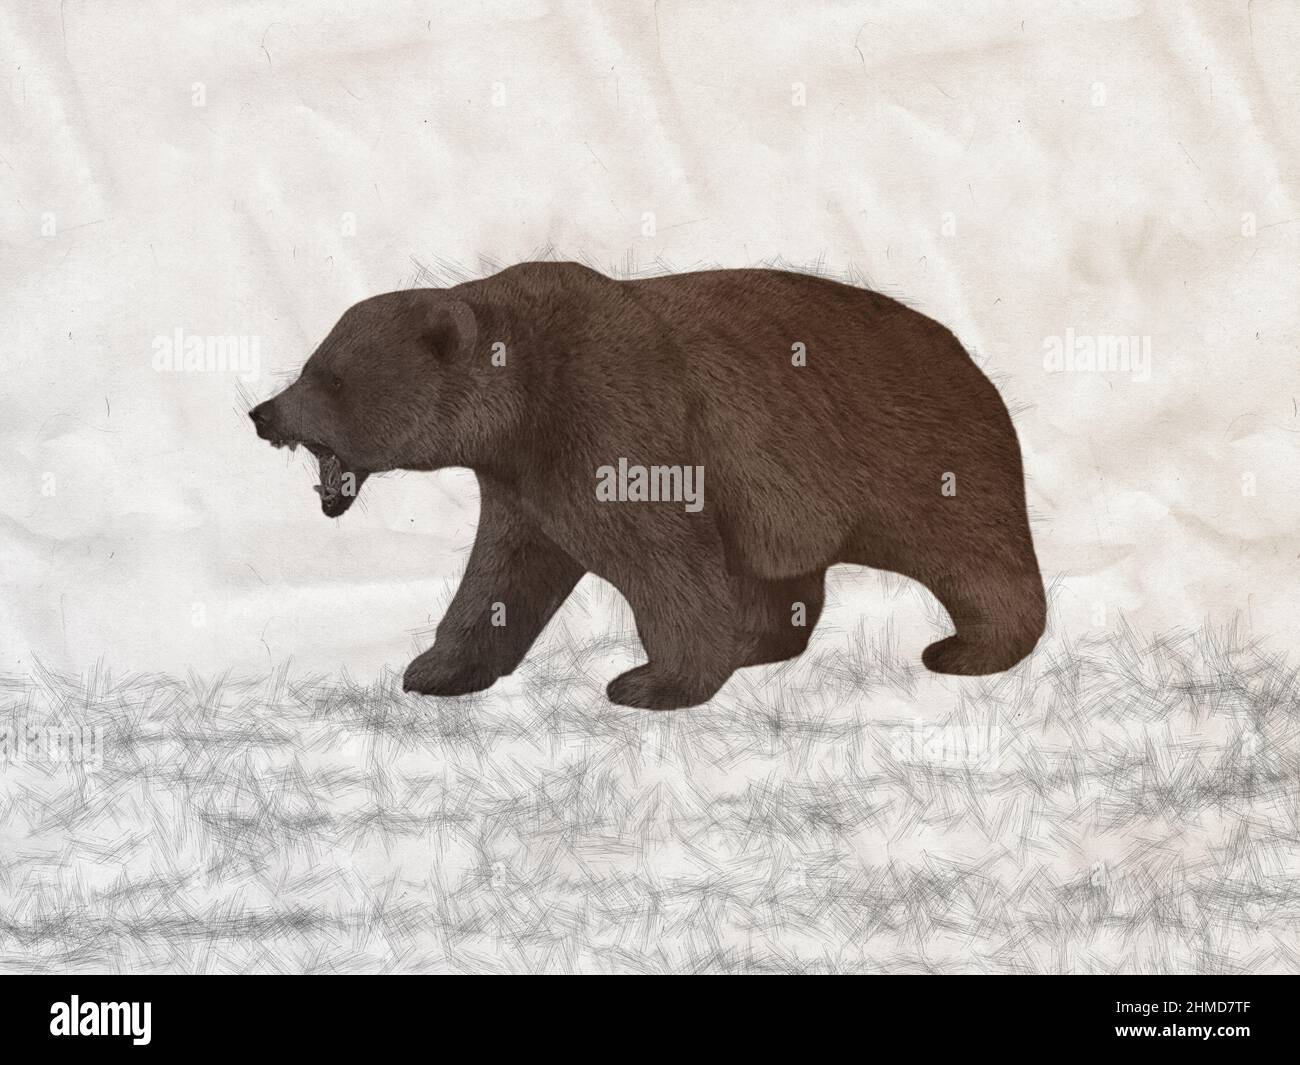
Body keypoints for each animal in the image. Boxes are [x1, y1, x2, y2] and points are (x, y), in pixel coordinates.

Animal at [250, 262, 1045, 710]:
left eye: (329, 376)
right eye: (310, 363)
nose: (263, 413)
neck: (523, 405)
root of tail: (967, 354)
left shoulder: (614, 418)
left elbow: (662, 559)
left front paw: (649, 682)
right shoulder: (524, 483)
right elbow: (502, 575)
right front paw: (435, 668)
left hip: (919, 452)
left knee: (972, 550)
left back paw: (969, 648)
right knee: (775, 575)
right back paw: (756, 643)